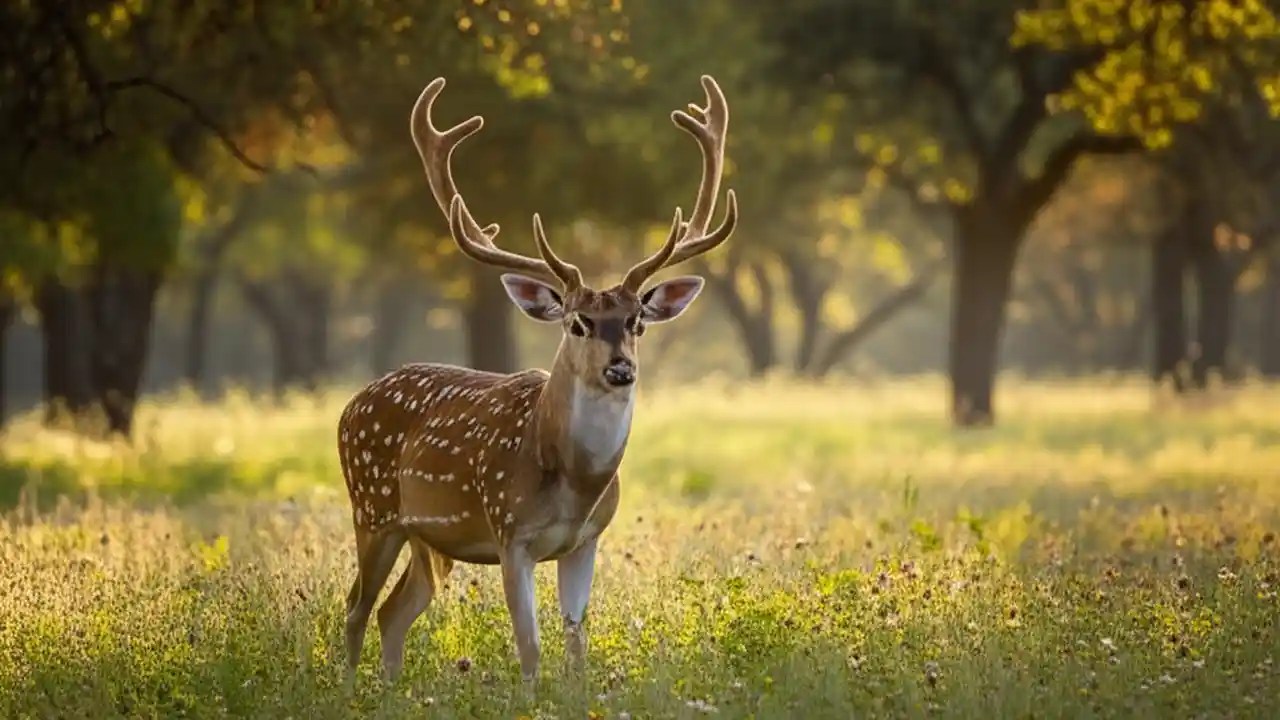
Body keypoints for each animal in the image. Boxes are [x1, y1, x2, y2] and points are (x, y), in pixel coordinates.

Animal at [337, 74, 736, 683]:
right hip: (373, 506)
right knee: (355, 607)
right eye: (578, 321)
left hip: (429, 538)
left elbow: (575, 643)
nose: (621, 368)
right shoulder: (511, 533)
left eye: (637, 321)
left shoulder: (586, 541)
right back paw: (349, 689)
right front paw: (531, 692)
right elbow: (530, 647)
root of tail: (350, 405)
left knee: (394, 610)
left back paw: (388, 689)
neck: (574, 484)